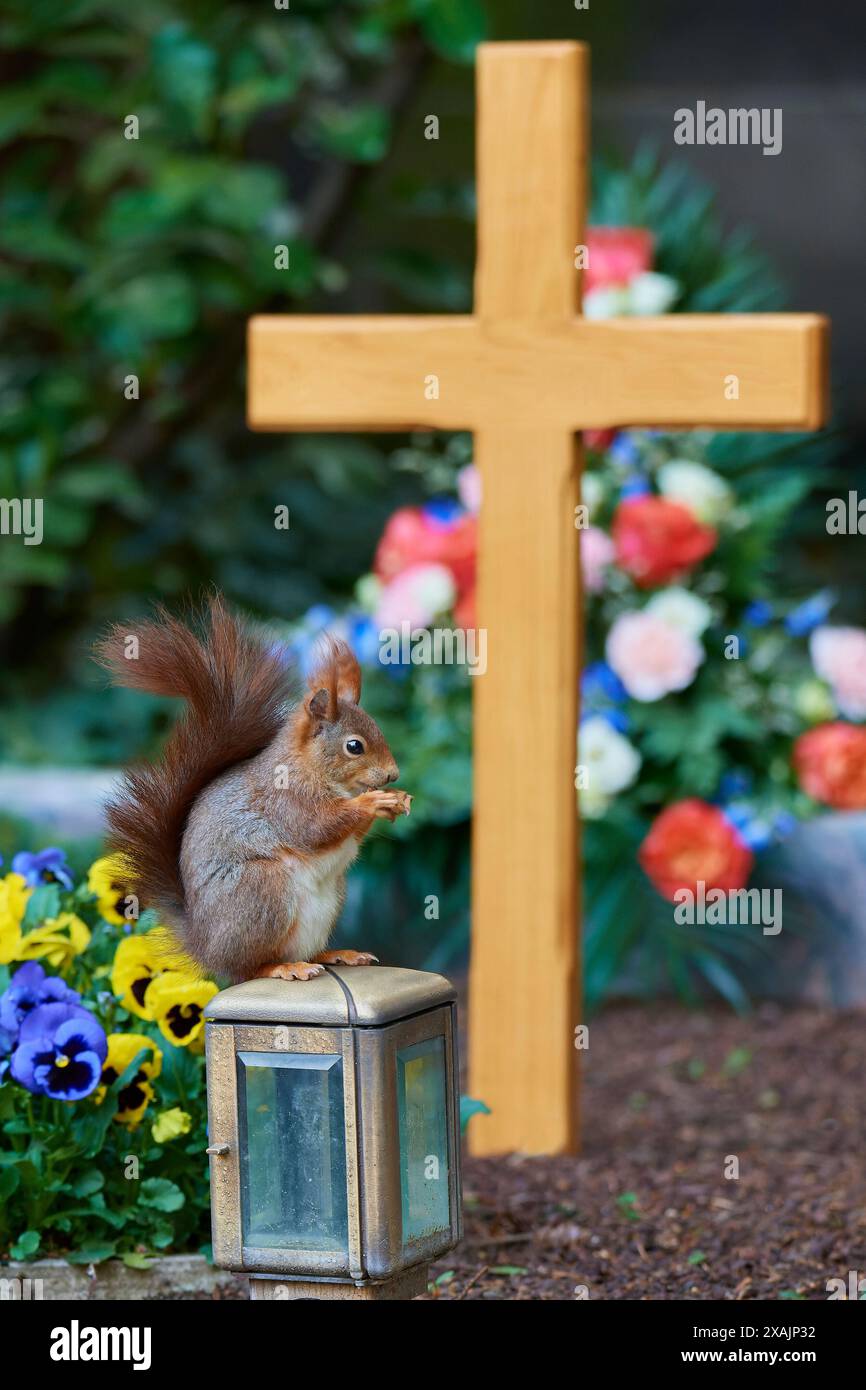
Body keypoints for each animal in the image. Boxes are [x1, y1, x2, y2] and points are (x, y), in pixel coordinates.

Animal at [95, 594, 411, 984]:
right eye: (354, 746)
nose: (393, 775)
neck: (314, 770)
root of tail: (206, 947)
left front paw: (395, 802)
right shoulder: (285, 799)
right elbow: (314, 828)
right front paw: (373, 802)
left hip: (329, 899)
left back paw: (337, 954)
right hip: (262, 889)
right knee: (250, 967)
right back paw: (284, 967)